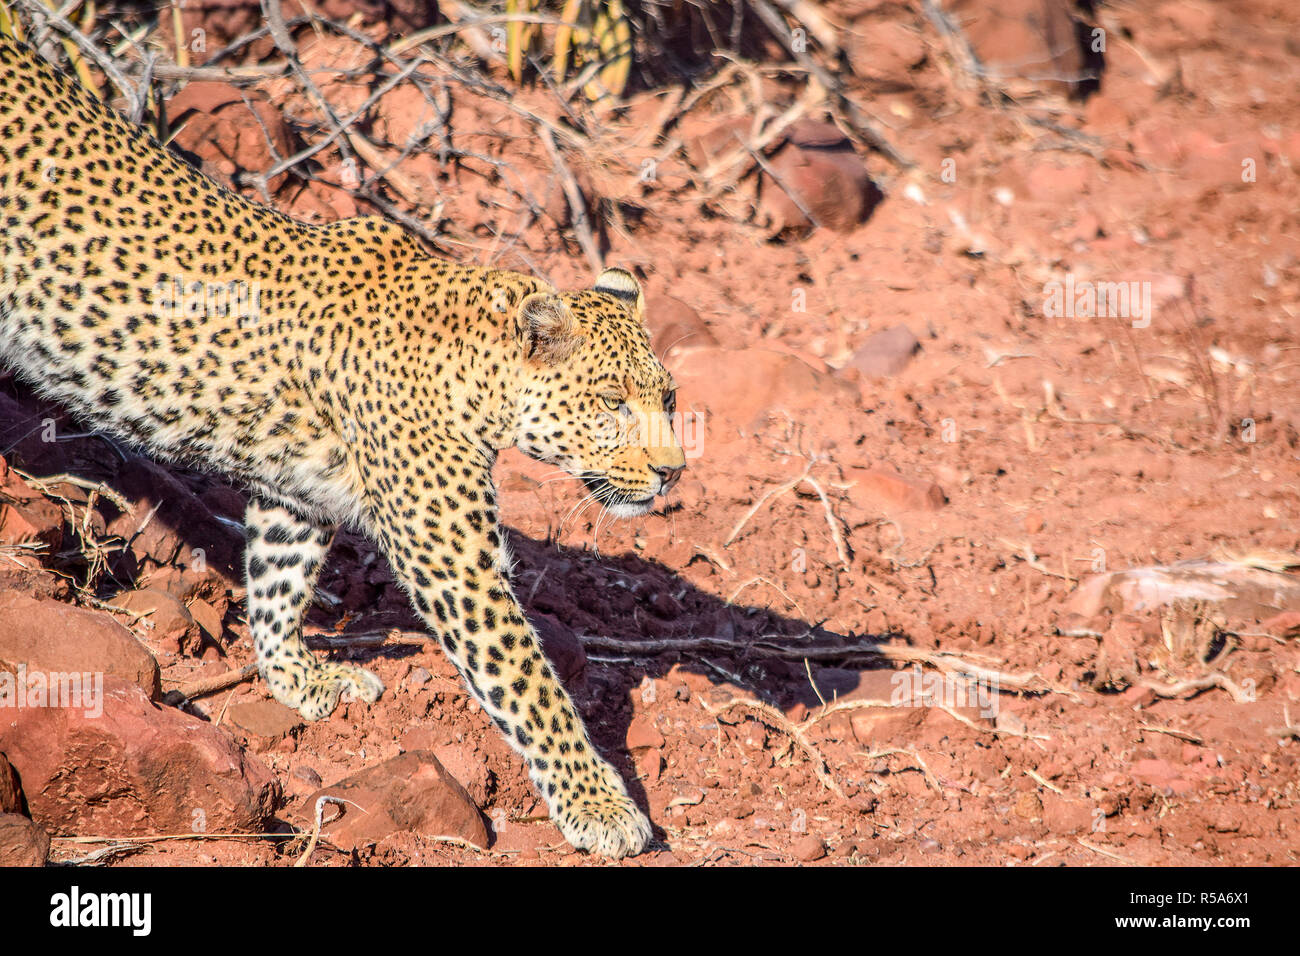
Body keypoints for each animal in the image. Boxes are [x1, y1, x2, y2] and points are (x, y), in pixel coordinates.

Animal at [0, 32, 687, 859]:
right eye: (612, 402)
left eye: (667, 398)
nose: (673, 472)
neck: (477, 373)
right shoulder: (454, 563)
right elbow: (530, 684)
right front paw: (599, 804)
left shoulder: (296, 494)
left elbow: (278, 582)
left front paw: (299, 677)